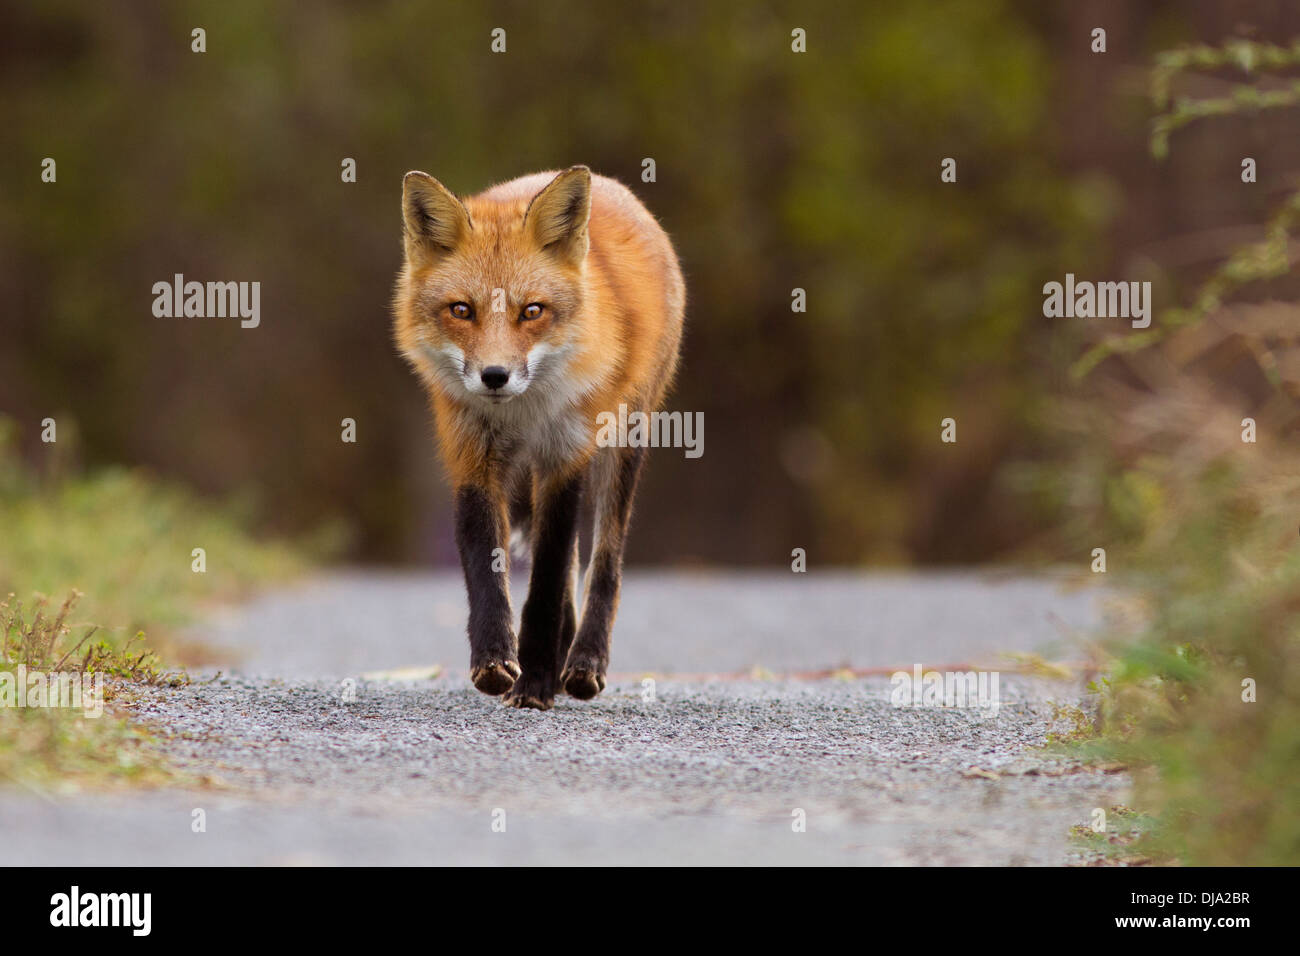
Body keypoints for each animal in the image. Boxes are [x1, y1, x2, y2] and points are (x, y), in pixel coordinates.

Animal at [392, 166, 685, 710]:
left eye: (532, 311)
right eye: (461, 310)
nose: (494, 376)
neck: (522, 415)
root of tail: (613, 185)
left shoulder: (565, 456)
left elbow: (548, 578)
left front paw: (535, 681)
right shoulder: (473, 456)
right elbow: (485, 564)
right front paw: (495, 661)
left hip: (624, 441)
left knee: (603, 564)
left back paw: (583, 661)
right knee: (573, 565)